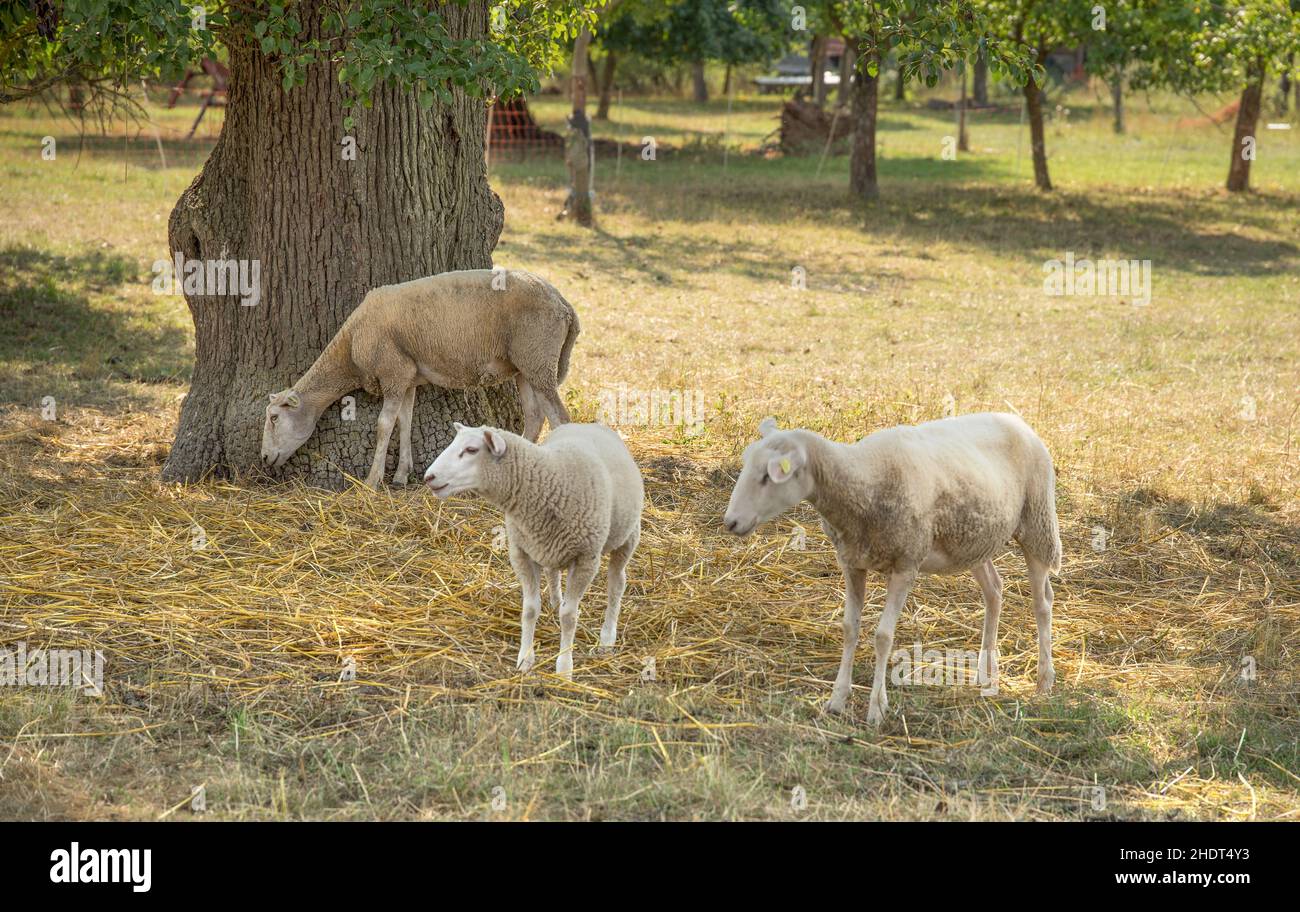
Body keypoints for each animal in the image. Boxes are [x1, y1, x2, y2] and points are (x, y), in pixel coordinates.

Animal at [261, 269, 579, 489]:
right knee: (535, 416)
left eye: (274, 417)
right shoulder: (407, 378)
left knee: (560, 419)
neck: (349, 349)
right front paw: (402, 474)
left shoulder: (393, 372)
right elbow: (405, 422)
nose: (263, 458)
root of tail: (565, 304)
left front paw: (372, 480)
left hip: (538, 358)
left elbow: (384, 425)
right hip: (525, 366)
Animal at [424, 421, 644, 678]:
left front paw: (564, 668)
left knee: (616, 584)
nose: (429, 477)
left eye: (471, 450)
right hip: (547, 546)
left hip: (627, 536)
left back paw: (607, 638)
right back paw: (557, 602)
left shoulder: (585, 558)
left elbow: (569, 617)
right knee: (553, 572)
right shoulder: (522, 552)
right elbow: (529, 609)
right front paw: (525, 659)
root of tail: (585, 424)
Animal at [723, 412, 1062, 725]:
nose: (731, 522)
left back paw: (1044, 680)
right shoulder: (852, 562)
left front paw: (876, 708)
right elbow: (849, 628)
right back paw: (985, 673)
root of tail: (1016, 420)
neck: (863, 478)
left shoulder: (905, 564)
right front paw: (837, 699)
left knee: (1042, 602)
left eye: (768, 477)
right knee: (994, 590)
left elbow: (883, 636)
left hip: (1037, 522)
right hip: (973, 541)